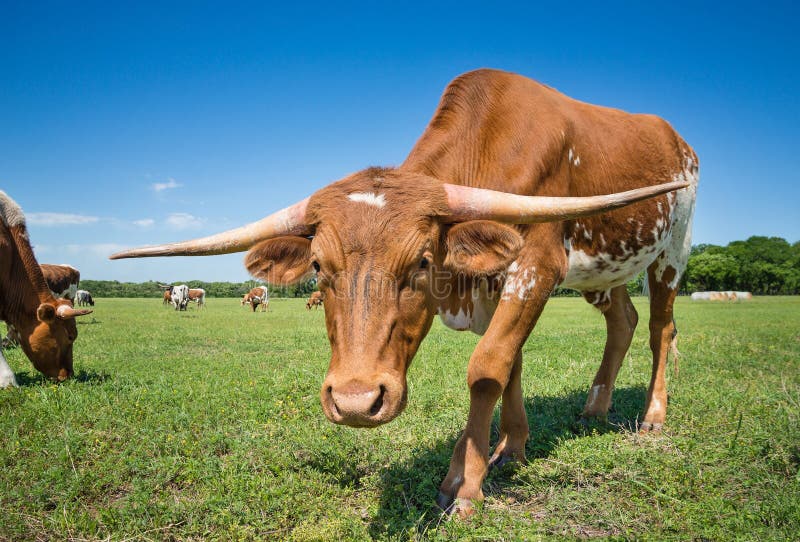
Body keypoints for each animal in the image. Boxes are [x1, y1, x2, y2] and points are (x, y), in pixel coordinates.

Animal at [111, 69, 697, 515]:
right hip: (605, 273)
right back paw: (595, 410)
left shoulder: (536, 267)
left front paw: (464, 484)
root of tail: (676, 138)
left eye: (421, 262)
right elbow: (511, 366)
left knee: (660, 328)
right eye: (318, 266)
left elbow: (488, 367)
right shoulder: (499, 282)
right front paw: (511, 448)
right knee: (622, 322)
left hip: (671, 252)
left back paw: (653, 417)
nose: (354, 401)